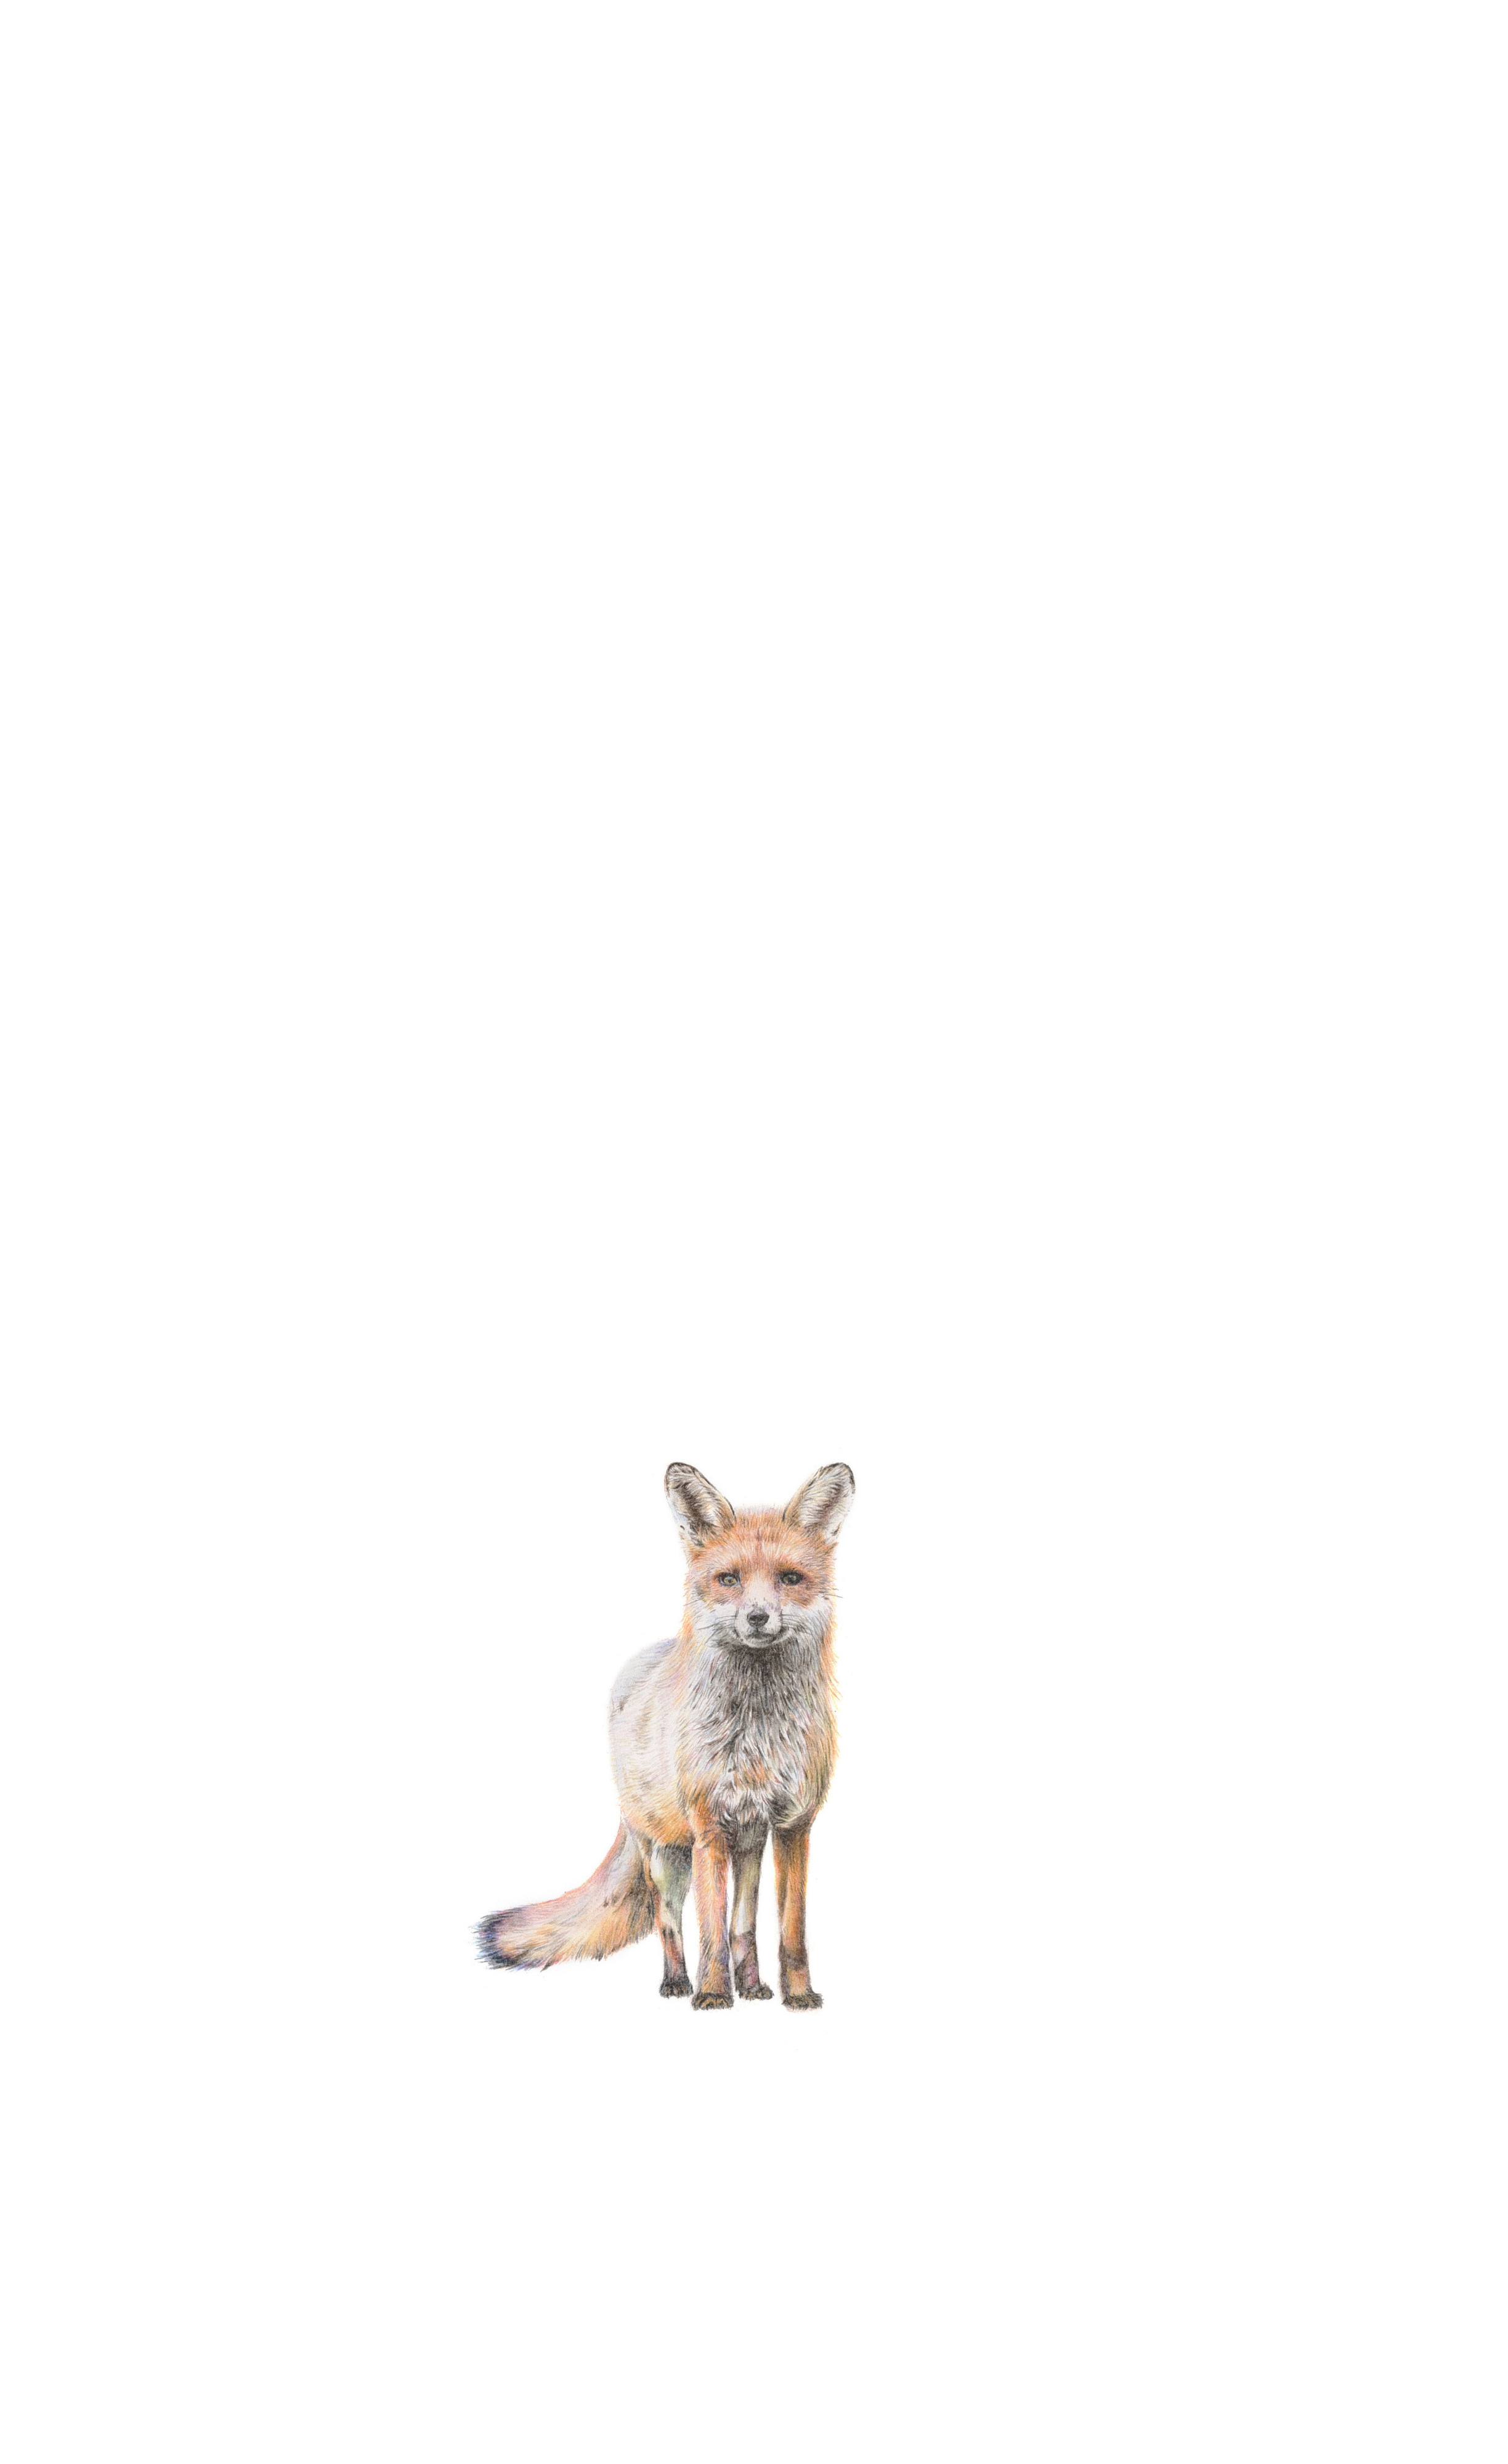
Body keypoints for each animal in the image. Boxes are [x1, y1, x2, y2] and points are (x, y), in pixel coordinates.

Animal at [477, 1460, 855, 2009]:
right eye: (728, 1579)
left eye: (790, 1579)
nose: (758, 1617)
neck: (757, 1732)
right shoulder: (708, 1827)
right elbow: (710, 1928)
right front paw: (714, 1993)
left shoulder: (793, 1825)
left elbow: (789, 1931)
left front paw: (798, 1995)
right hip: (665, 1855)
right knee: (668, 1920)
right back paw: (678, 1981)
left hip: (748, 1847)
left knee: (744, 1925)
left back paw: (754, 1986)